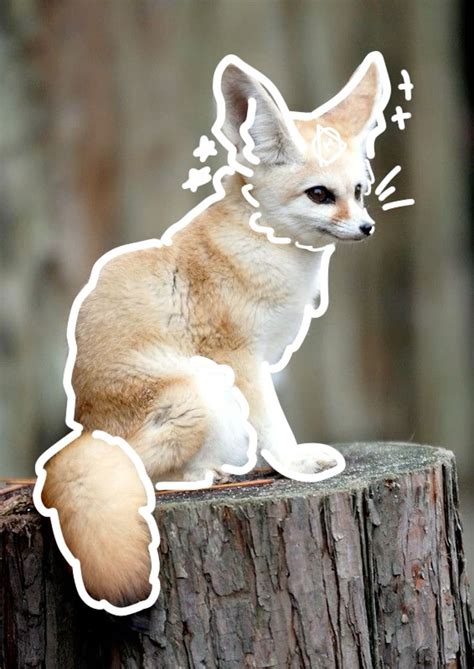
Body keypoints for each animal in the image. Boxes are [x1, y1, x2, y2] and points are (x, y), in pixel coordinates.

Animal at [34, 52, 390, 613]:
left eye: (358, 192)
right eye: (319, 195)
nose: (366, 227)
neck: (264, 246)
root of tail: (84, 430)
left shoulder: (264, 362)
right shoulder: (240, 359)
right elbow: (274, 423)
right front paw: (295, 463)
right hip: (200, 393)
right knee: (148, 474)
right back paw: (207, 475)